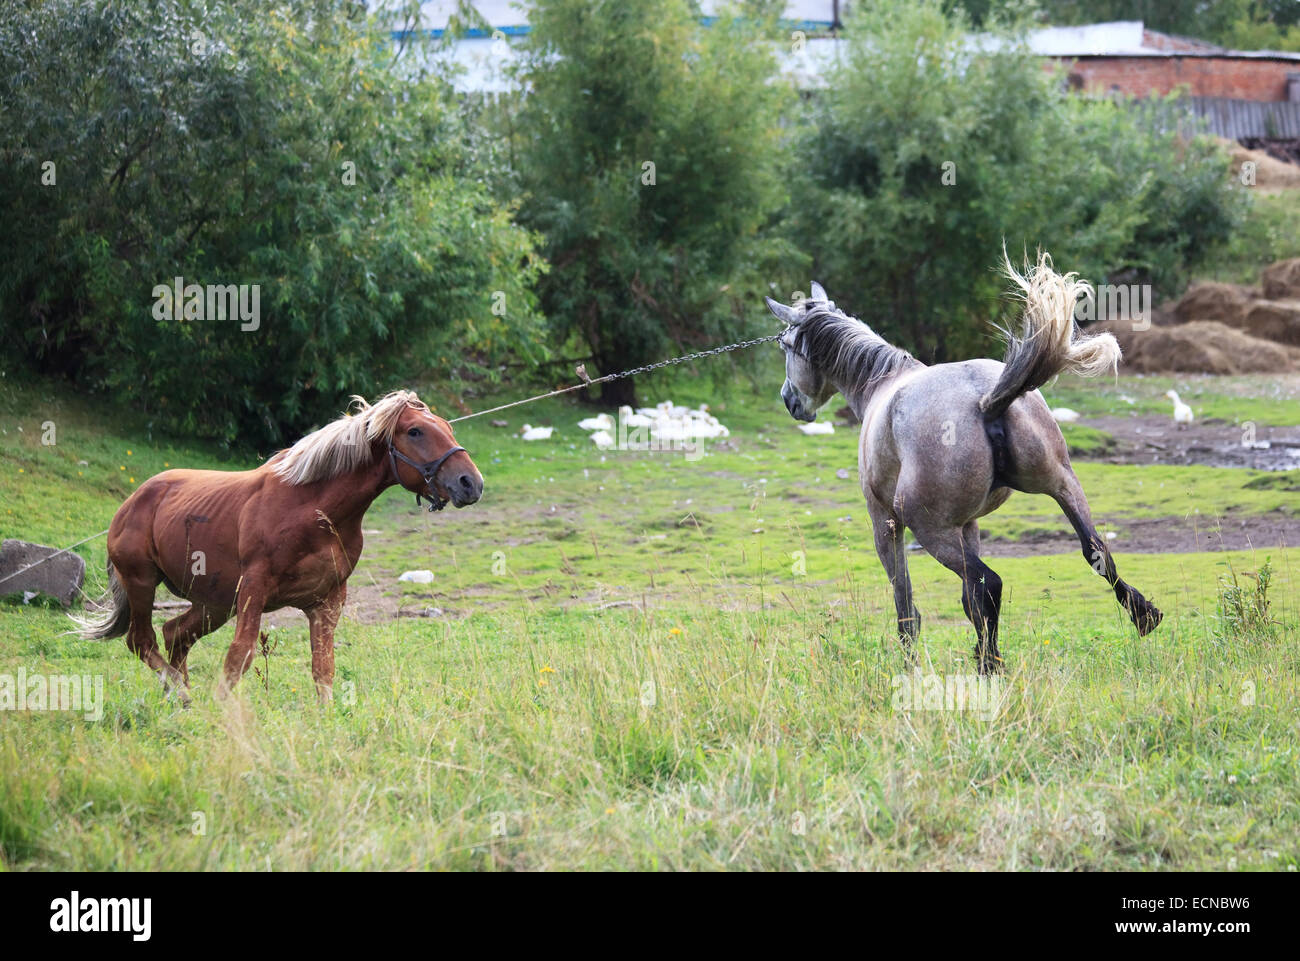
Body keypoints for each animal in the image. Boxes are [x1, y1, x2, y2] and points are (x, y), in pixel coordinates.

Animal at [72, 390, 482, 703]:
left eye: (447, 427)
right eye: (415, 431)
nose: (470, 483)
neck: (312, 510)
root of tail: (131, 501)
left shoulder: (327, 601)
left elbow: (323, 669)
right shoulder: (254, 591)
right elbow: (239, 658)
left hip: (213, 603)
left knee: (175, 635)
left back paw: (183, 698)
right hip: (142, 583)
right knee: (142, 641)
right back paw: (183, 695)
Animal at [766, 253, 1162, 673]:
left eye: (786, 347)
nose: (789, 400)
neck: (882, 383)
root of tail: (986, 400)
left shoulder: (885, 523)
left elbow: (906, 601)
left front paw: (911, 661)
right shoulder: (967, 525)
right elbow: (968, 602)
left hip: (930, 530)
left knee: (990, 582)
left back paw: (989, 662)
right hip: (1061, 486)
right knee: (1095, 550)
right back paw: (1144, 615)